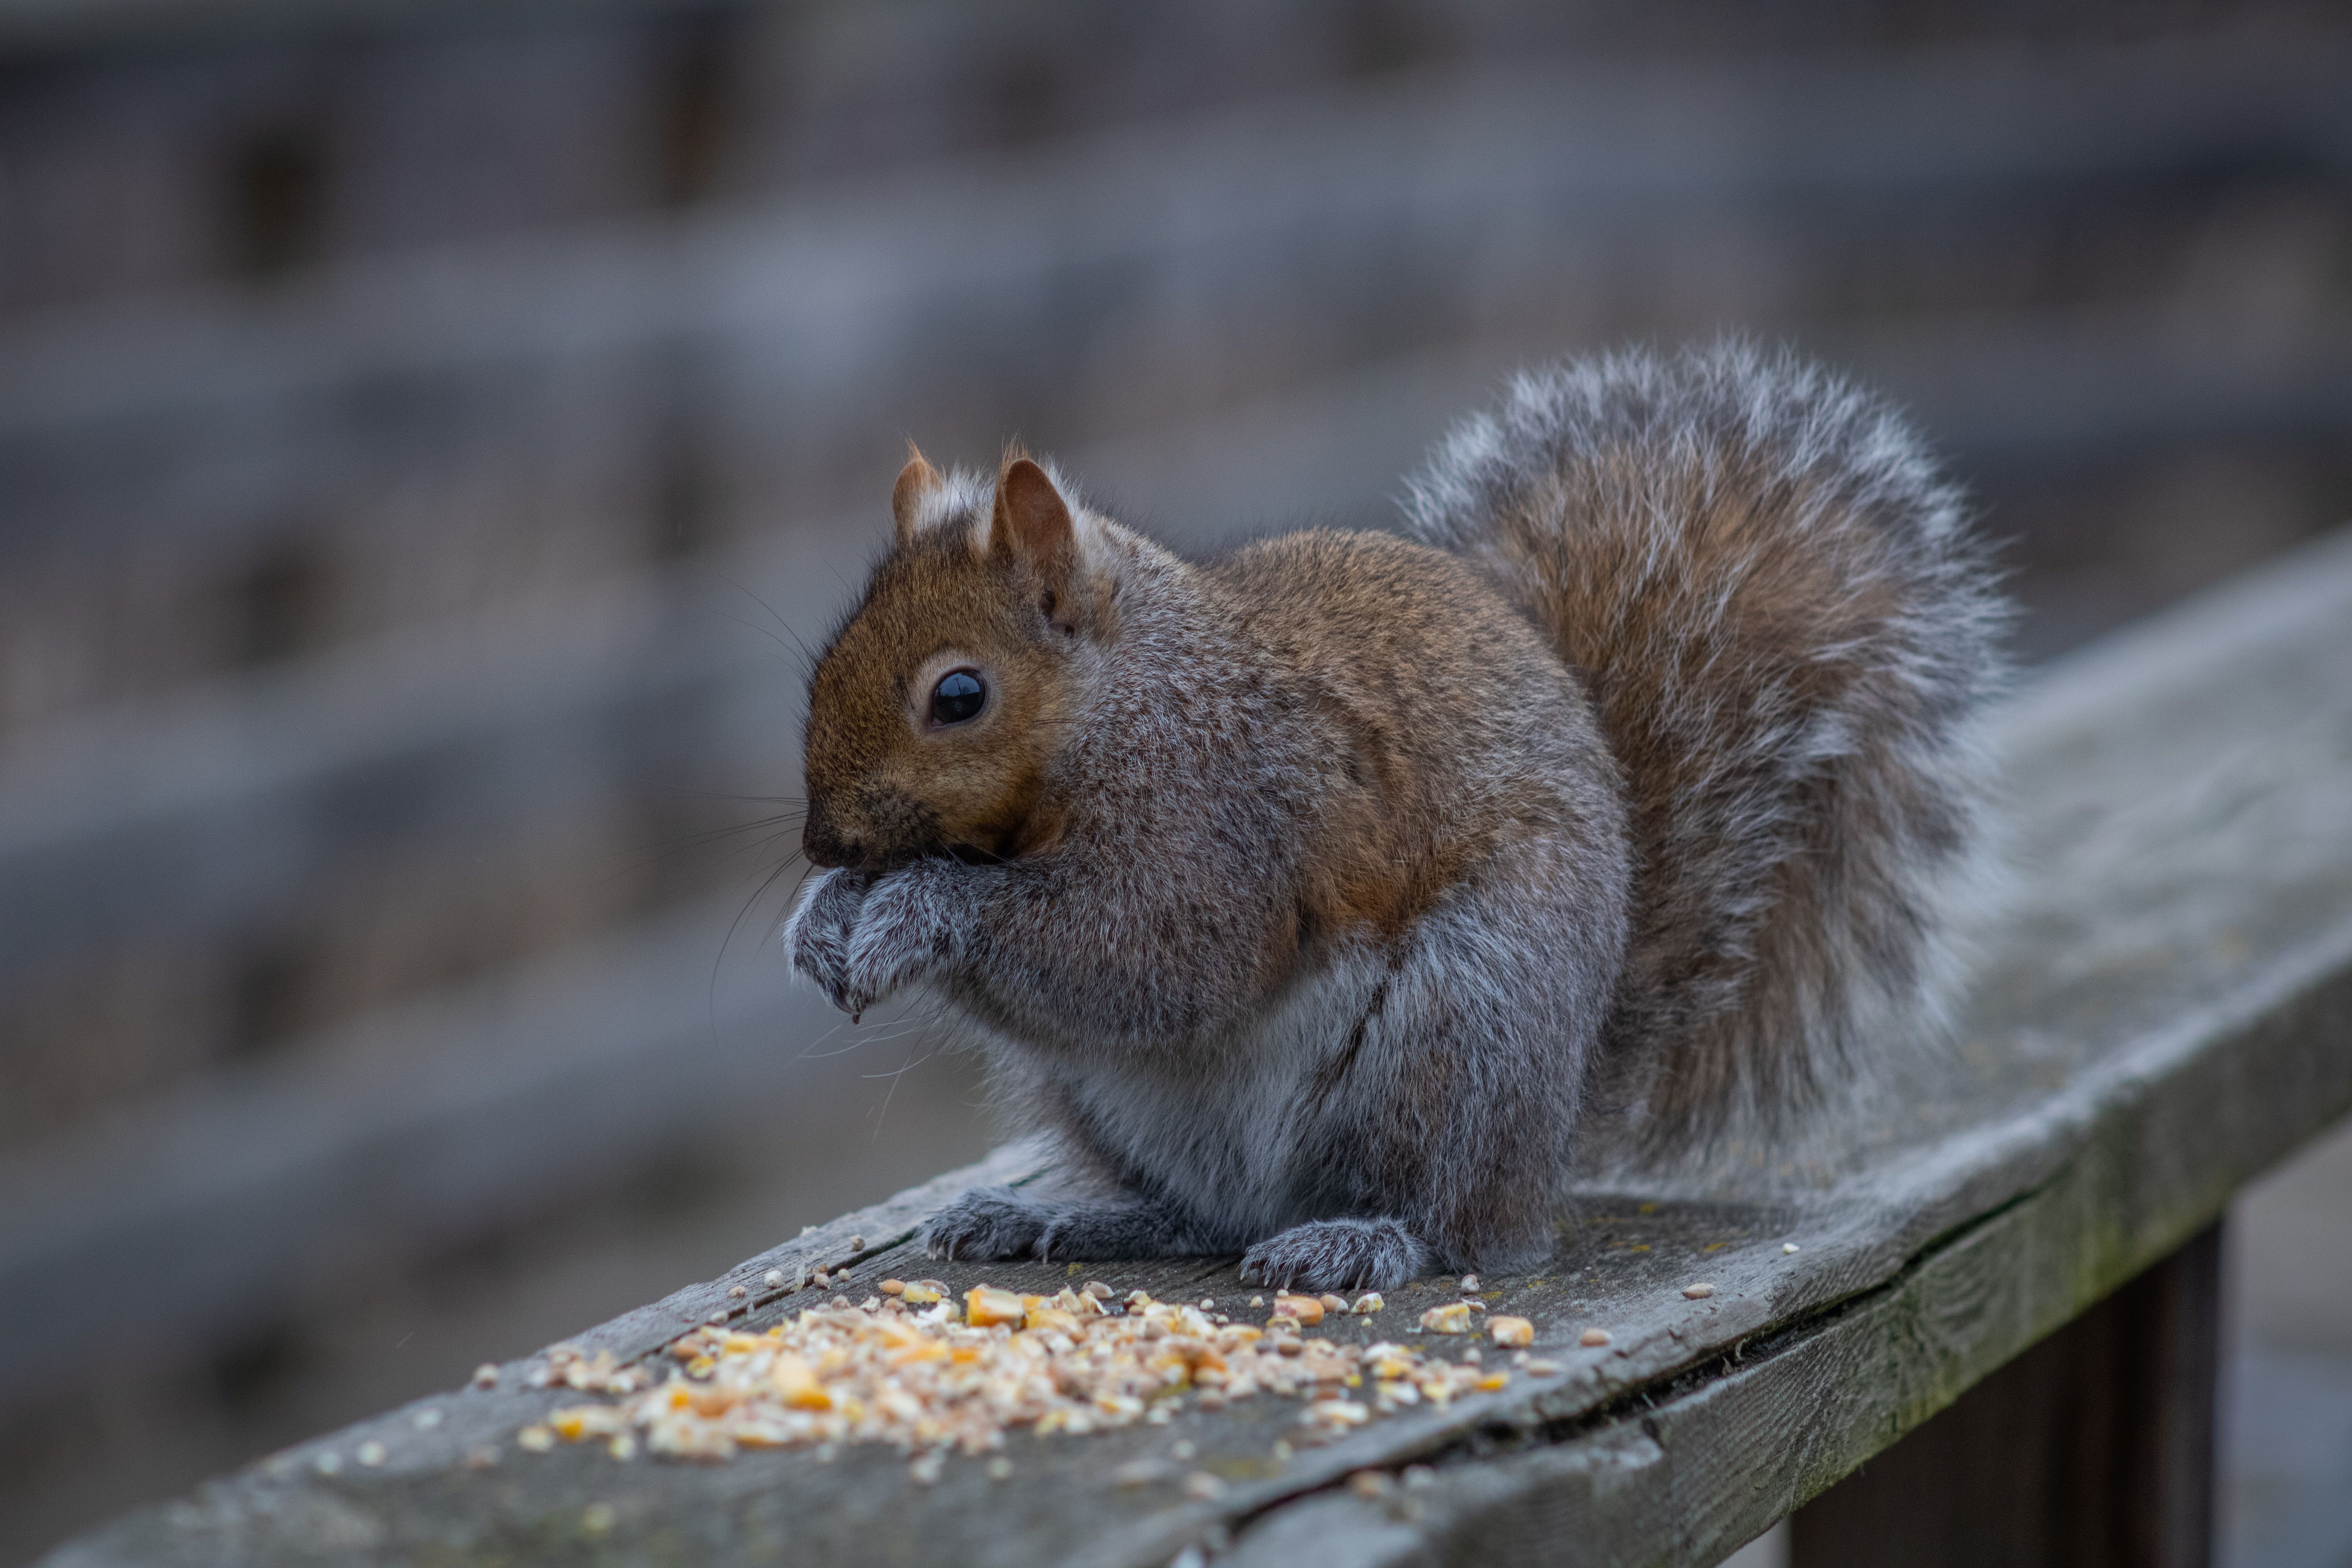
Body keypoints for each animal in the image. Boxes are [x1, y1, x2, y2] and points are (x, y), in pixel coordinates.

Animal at [784, 342, 2008, 1292]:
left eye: (959, 695)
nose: (823, 841)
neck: (1131, 701)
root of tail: (1555, 1118)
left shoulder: (1234, 812)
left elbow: (1153, 957)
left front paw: (912, 911)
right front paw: (822, 914)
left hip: (1462, 1027)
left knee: (1449, 1222)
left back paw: (1362, 1240)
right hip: (1113, 1106)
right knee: (1202, 1218)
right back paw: (1061, 1218)